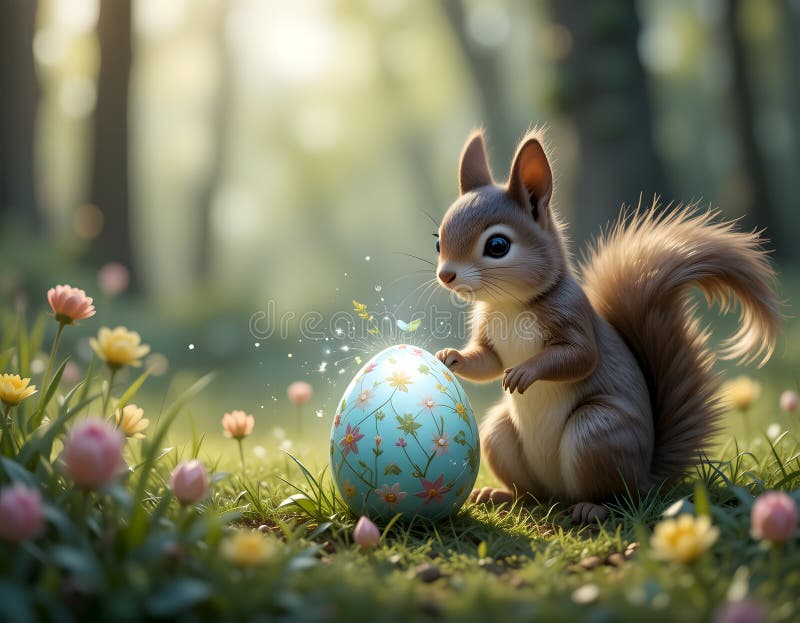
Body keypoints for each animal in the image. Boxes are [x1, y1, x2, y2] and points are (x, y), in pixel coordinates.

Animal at [434, 128, 781, 523]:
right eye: (438, 241)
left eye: (497, 245)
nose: (446, 275)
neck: (510, 305)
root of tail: (646, 478)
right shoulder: (488, 332)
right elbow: (487, 361)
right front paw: (450, 357)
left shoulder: (572, 315)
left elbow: (580, 357)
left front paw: (525, 371)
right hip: (501, 434)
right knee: (533, 493)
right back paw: (500, 495)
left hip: (598, 432)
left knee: (613, 495)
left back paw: (592, 508)